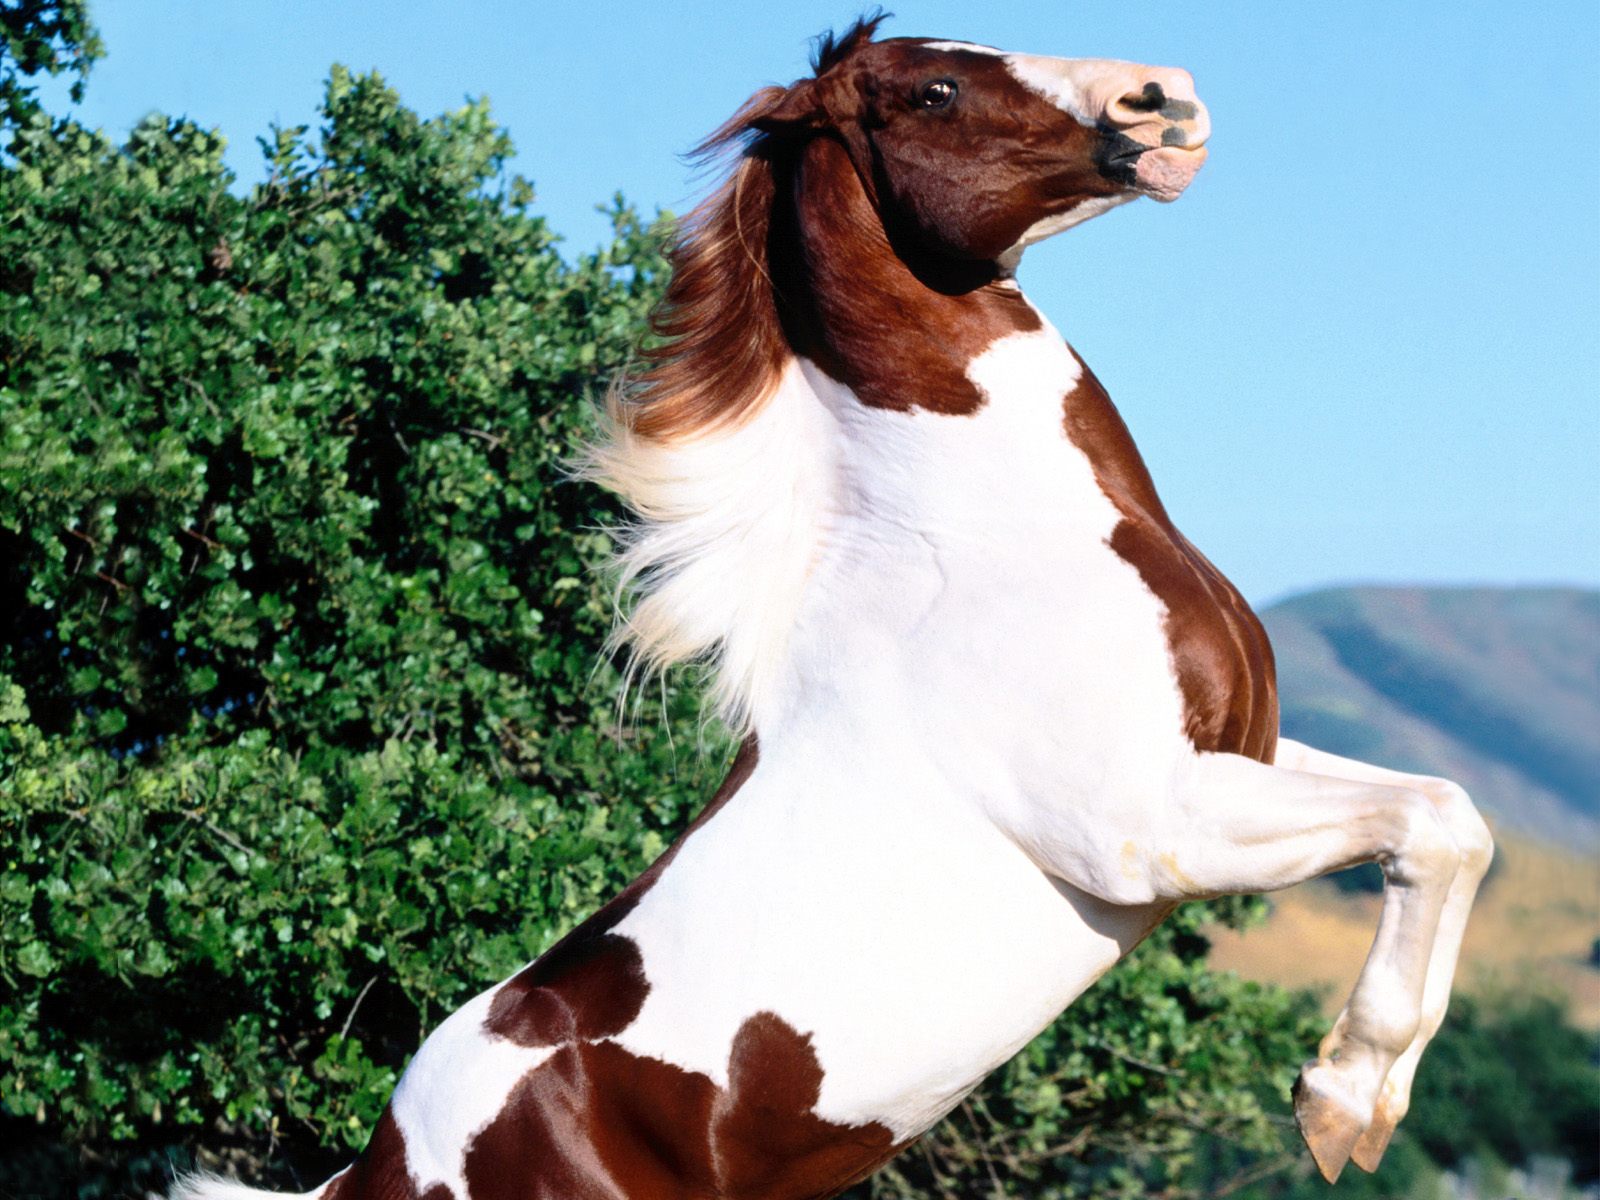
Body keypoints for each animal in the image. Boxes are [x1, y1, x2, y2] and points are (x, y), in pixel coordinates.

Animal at [177, 17, 1493, 1200]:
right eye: (931, 91)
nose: (1163, 99)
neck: (985, 540)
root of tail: (373, 1172)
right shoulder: (1156, 825)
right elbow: (1428, 825)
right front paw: (1338, 1104)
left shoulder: (1241, 754)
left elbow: (1452, 818)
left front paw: (1360, 1101)